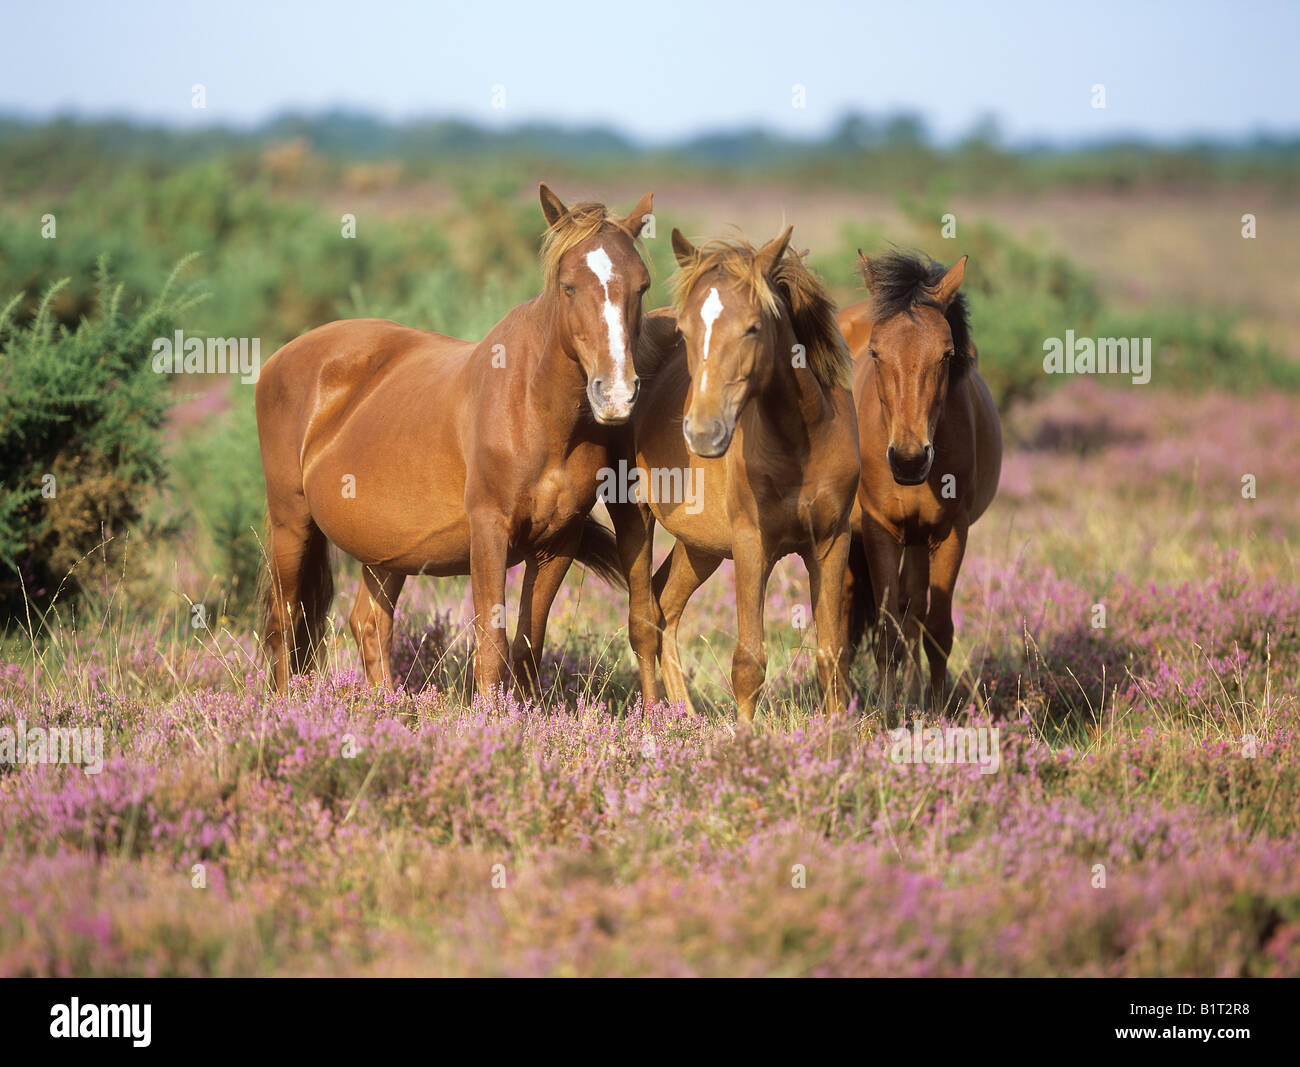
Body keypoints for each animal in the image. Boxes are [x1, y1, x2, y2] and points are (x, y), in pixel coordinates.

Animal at [255, 183, 654, 696]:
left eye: (641, 286)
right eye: (569, 285)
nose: (617, 394)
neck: (535, 411)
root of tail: (281, 357)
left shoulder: (558, 545)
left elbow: (527, 647)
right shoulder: (488, 534)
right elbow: (491, 647)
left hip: (385, 550)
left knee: (369, 623)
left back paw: (387, 706)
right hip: (292, 522)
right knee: (286, 622)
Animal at [608, 226, 860, 722]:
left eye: (753, 327)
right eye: (686, 331)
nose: (703, 432)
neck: (802, 442)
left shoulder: (830, 542)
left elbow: (831, 654)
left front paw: (842, 732)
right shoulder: (751, 544)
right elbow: (748, 662)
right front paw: (744, 740)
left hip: (699, 546)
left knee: (666, 608)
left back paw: (684, 717)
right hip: (636, 518)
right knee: (643, 621)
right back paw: (654, 722)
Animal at [839, 250, 1002, 721]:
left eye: (947, 355)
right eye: (876, 353)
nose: (909, 459)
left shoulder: (949, 533)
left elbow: (936, 630)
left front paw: (935, 713)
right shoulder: (881, 531)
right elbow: (887, 631)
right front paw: (884, 714)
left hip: (917, 542)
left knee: (914, 614)